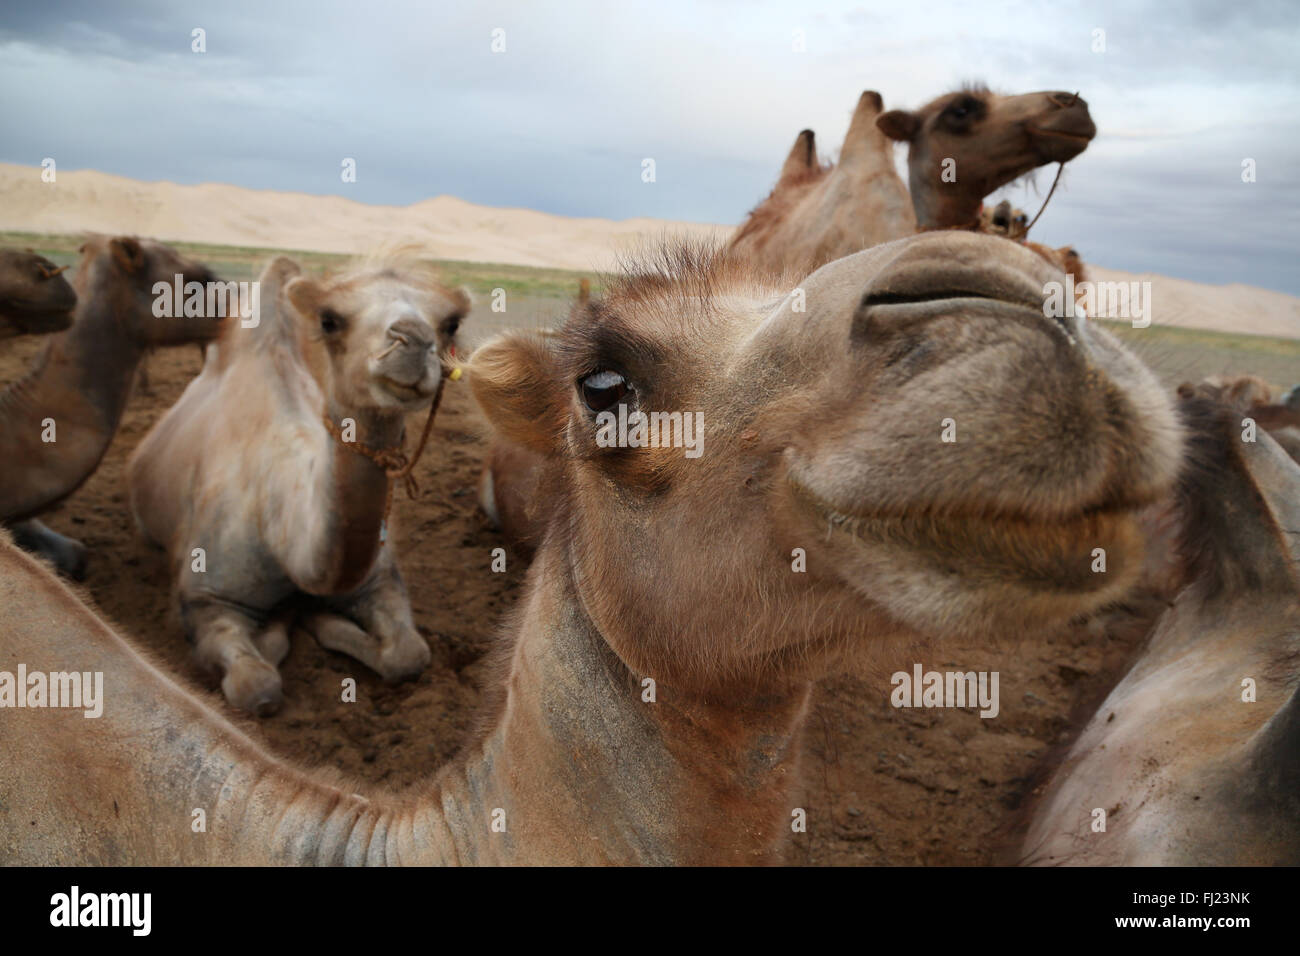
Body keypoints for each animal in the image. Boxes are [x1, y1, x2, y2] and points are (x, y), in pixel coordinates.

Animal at [126, 254, 469, 715]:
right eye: (329, 319)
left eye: (451, 323)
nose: (412, 341)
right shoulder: (204, 598)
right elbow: (257, 686)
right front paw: (291, 620)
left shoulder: (380, 578)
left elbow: (410, 655)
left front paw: (319, 618)